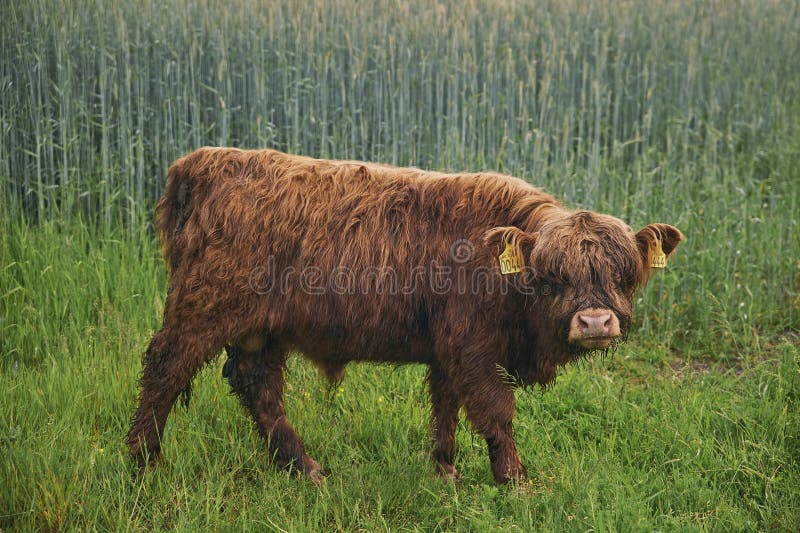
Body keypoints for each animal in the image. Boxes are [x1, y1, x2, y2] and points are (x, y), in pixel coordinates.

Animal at [127, 147, 682, 485]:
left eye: (621, 273)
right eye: (552, 275)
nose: (595, 323)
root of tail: (205, 162)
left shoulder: (448, 351)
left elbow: (446, 408)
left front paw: (445, 472)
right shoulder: (472, 348)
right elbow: (496, 412)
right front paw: (515, 481)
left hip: (258, 330)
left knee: (256, 386)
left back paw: (306, 469)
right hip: (201, 309)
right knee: (164, 370)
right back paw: (143, 465)